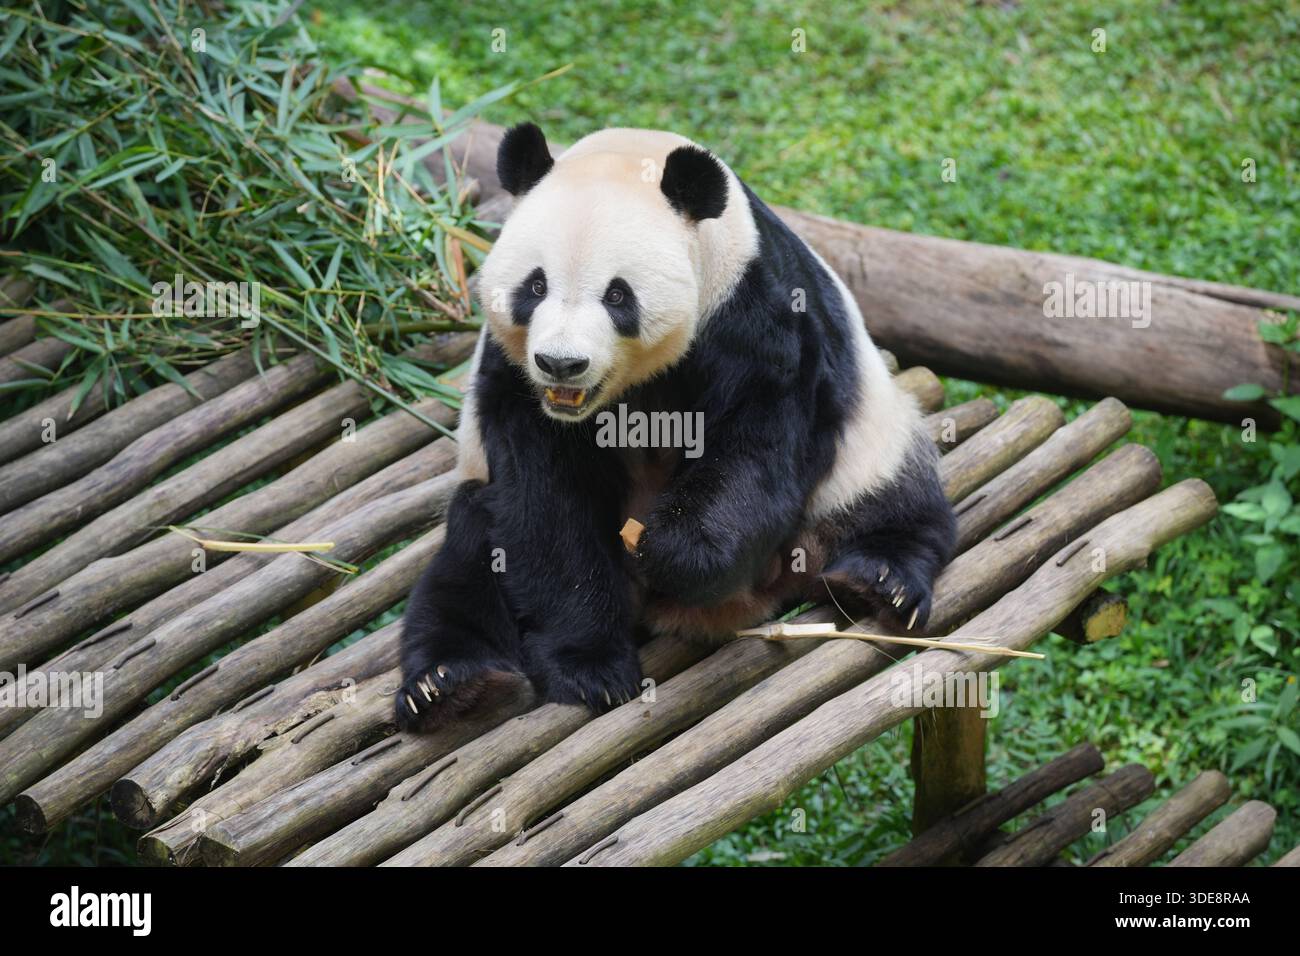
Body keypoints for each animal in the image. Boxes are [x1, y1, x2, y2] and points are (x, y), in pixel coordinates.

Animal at [396, 124, 956, 730]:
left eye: (617, 294)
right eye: (535, 286)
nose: (561, 364)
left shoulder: (753, 309)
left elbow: (757, 444)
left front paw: (671, 549)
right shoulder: (514, 378)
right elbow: (546, 502)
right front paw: (590, 667)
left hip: (866, 443)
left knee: (895, 499)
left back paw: (880, 581)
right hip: (476, 500)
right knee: (466, 560)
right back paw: (450, 685)